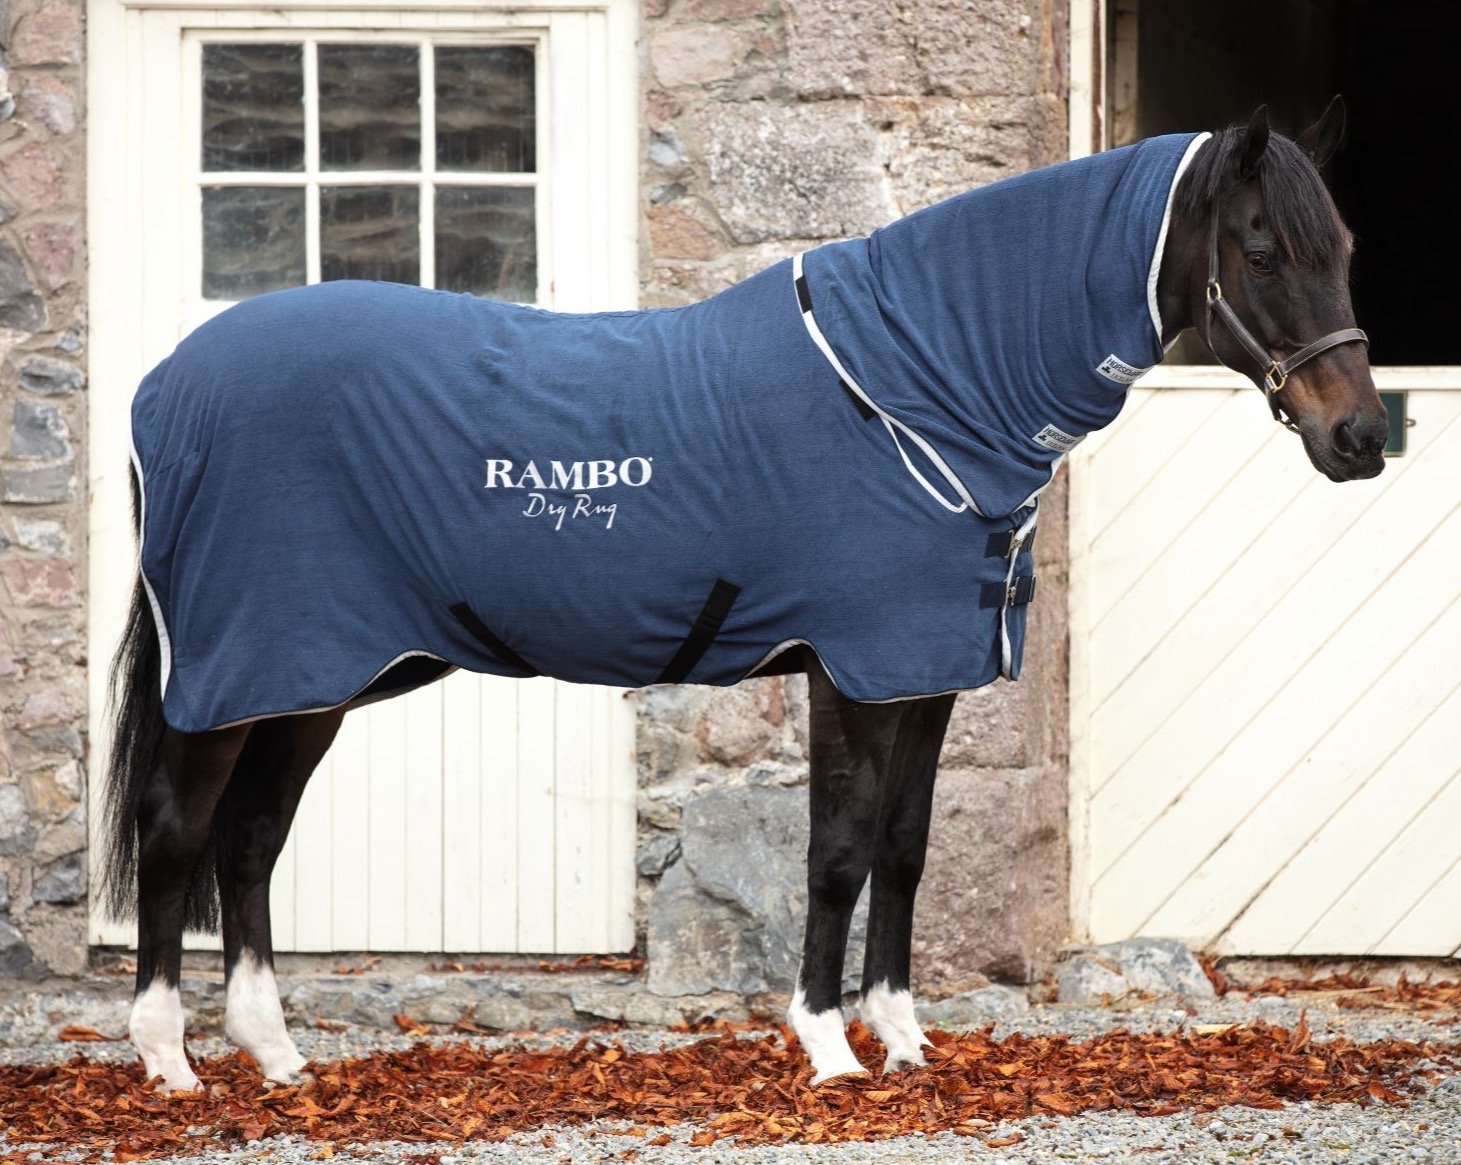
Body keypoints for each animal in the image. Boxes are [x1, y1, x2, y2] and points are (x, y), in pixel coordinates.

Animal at [100, 97, 1385, 1092]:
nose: (1362, 438)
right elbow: (838, 851)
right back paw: (169, 1060)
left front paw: (904, 1040)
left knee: (250, 840)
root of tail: (164, 389)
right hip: (245, 668)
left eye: (1344, 245)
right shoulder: (851, 670)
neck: (915, 384)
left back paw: (276, 1055)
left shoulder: (925, 672)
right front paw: (826, 1046)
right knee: (178, 831)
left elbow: (906, 848)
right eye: (1263, 251)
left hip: (312, 676)